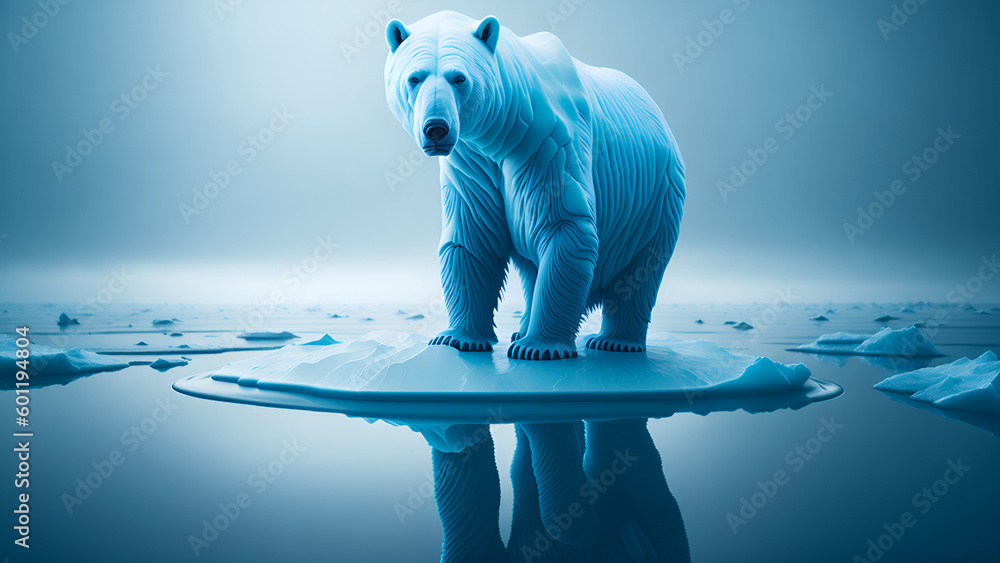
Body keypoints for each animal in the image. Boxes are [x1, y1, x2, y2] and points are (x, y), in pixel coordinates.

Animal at [384, 11, 685, 360]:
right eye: (414, 78)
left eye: (459, 78)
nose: (436, 128)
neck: (503, 128)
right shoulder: (472, 163)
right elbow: (473, 235)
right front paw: (458, 338)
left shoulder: (548, 146)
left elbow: (564, 226)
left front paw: (540, 348)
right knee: (530, 268)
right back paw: (521, 328)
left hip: (656, 198)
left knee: (642, 269)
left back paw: (615, 341)